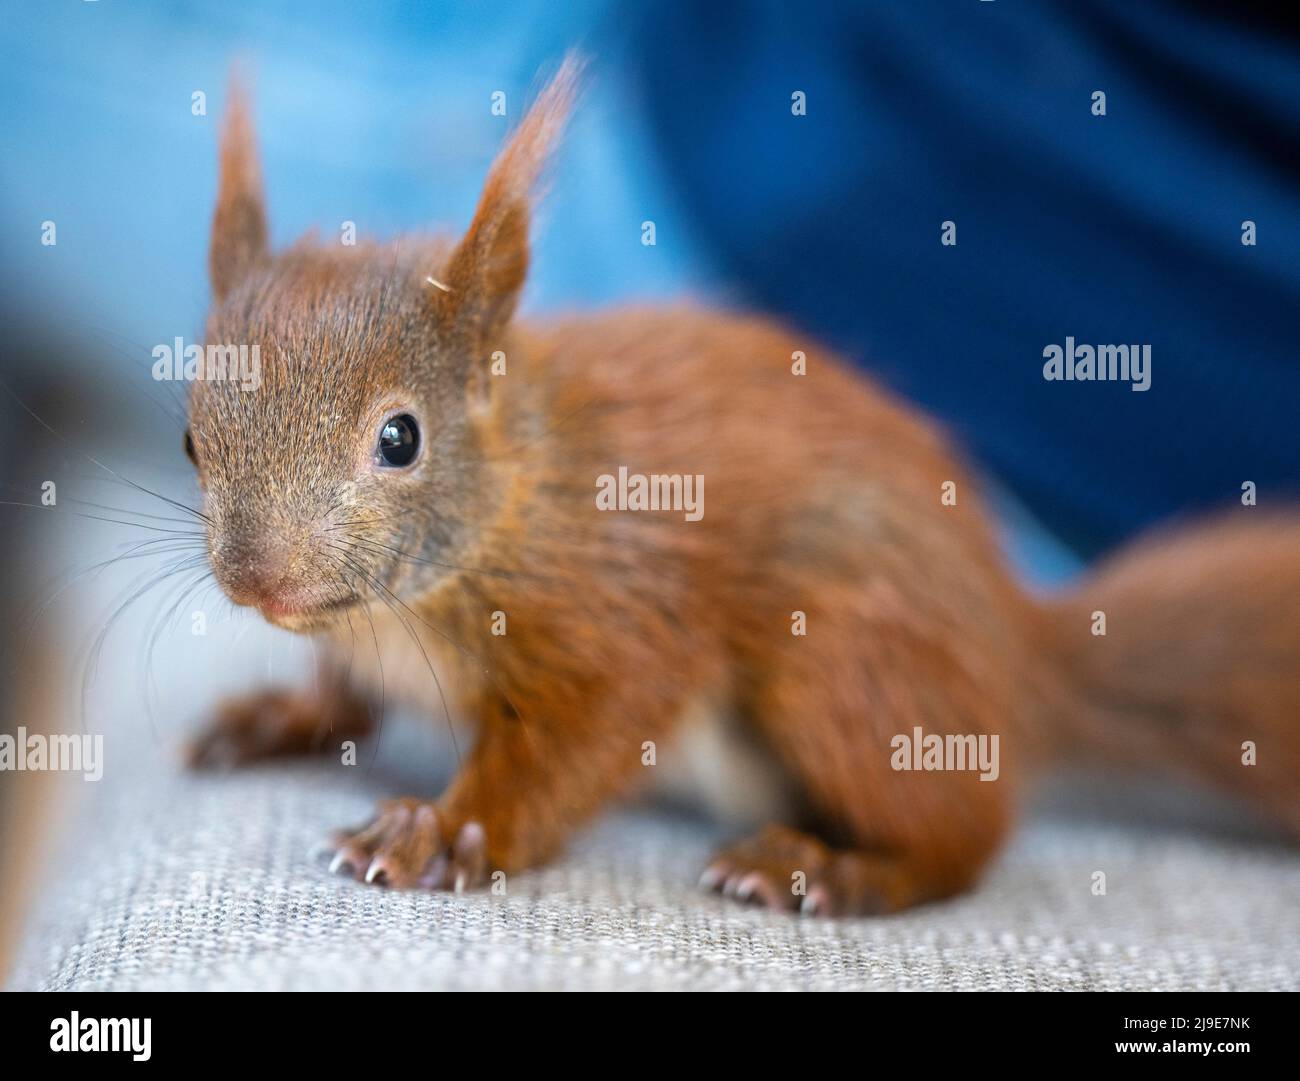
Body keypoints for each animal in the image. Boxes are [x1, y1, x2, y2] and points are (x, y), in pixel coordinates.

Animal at [184, 58, 1300, 915]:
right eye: (191, 437)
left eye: (401, 438)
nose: (256, 582)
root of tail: (1016, 651)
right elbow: (345, 695)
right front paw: (277, 716)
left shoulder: (612, 608)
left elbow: (572, 743)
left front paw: (445, 828)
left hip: (845, 658)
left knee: (964, 838)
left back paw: (837, 869)